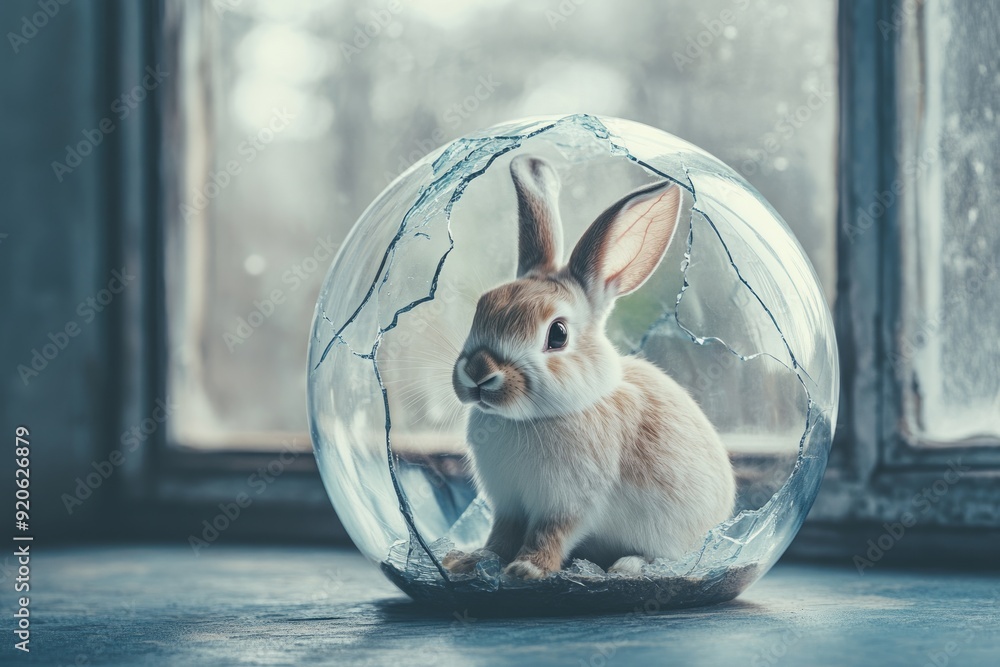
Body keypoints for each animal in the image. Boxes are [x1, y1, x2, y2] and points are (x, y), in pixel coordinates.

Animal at [441, 155, 735, 580]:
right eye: (482, 307)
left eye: (558, 334)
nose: (479, 372)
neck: (532, 419)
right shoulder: (509, 503)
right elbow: (501, 535)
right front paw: (471, 560)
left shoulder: (568, 503)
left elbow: (550, 534)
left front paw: (527, 570)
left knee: (668, 558)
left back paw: (626, 566)